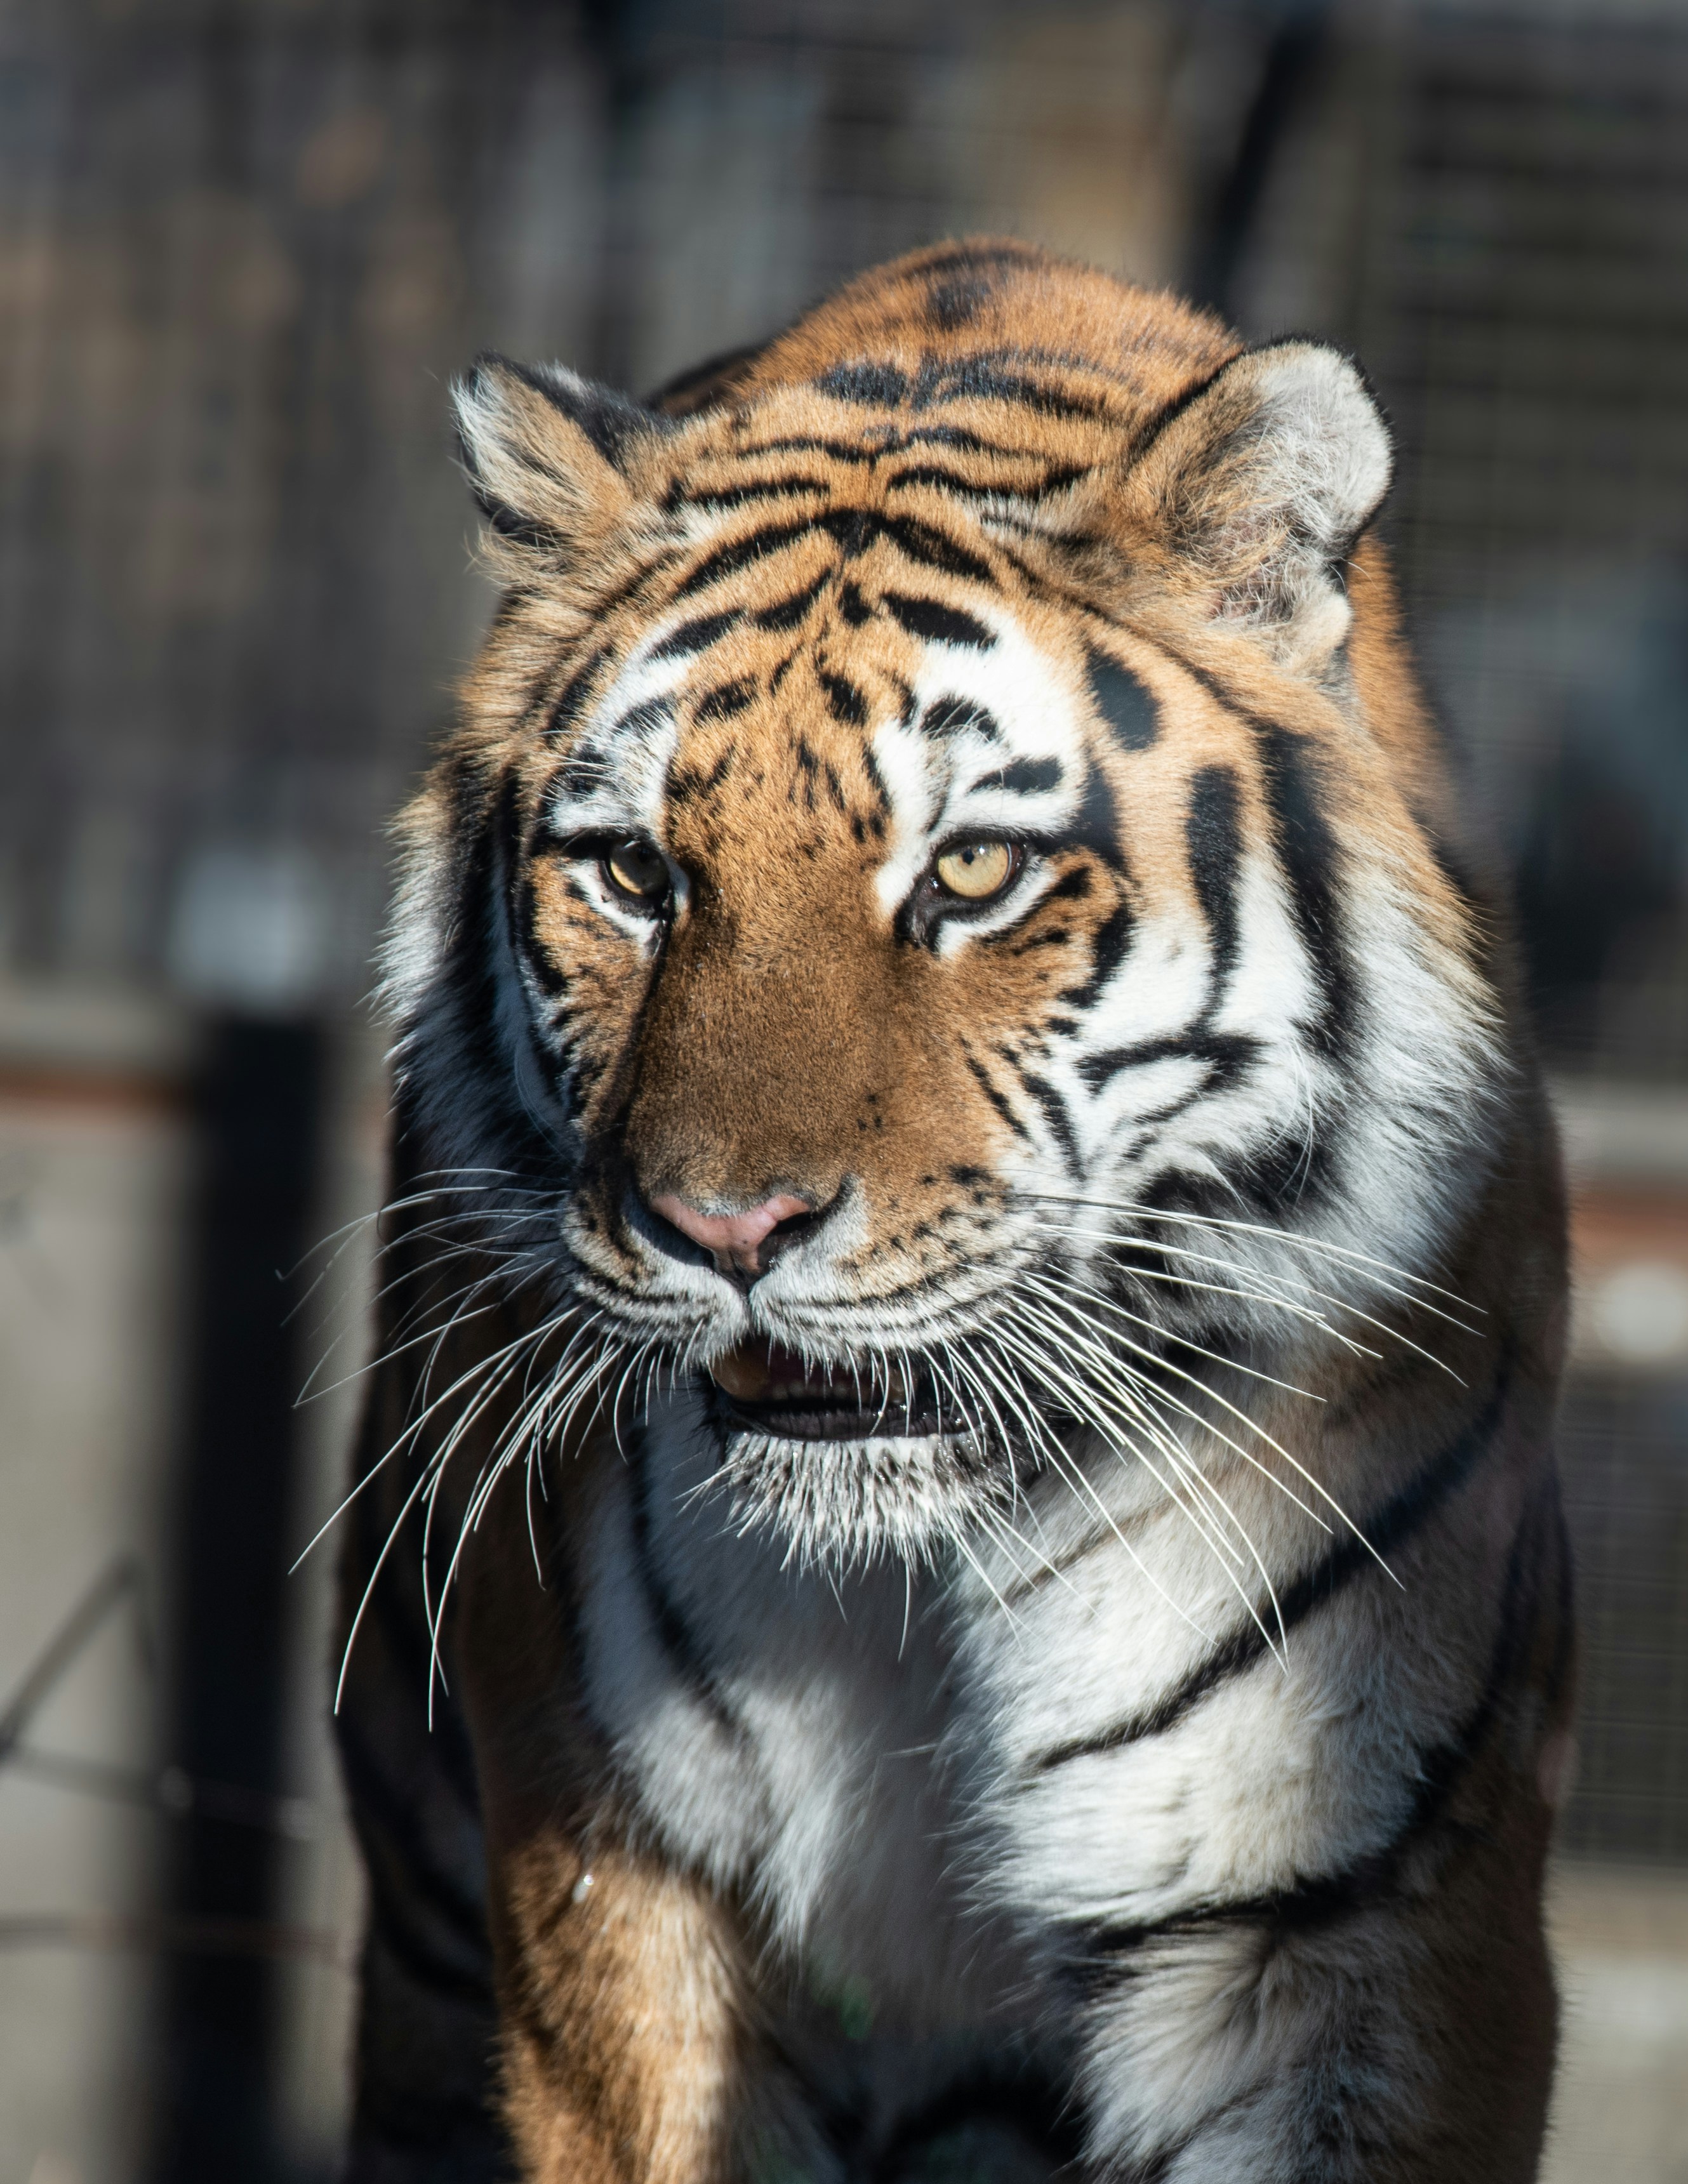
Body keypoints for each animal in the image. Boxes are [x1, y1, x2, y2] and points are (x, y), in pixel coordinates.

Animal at [333, 237, 1574, 2184]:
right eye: (634, 874)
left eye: (972, 871)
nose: (726, 1229)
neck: (910, 1576)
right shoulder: (616, 1885)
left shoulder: (1353, 1934)